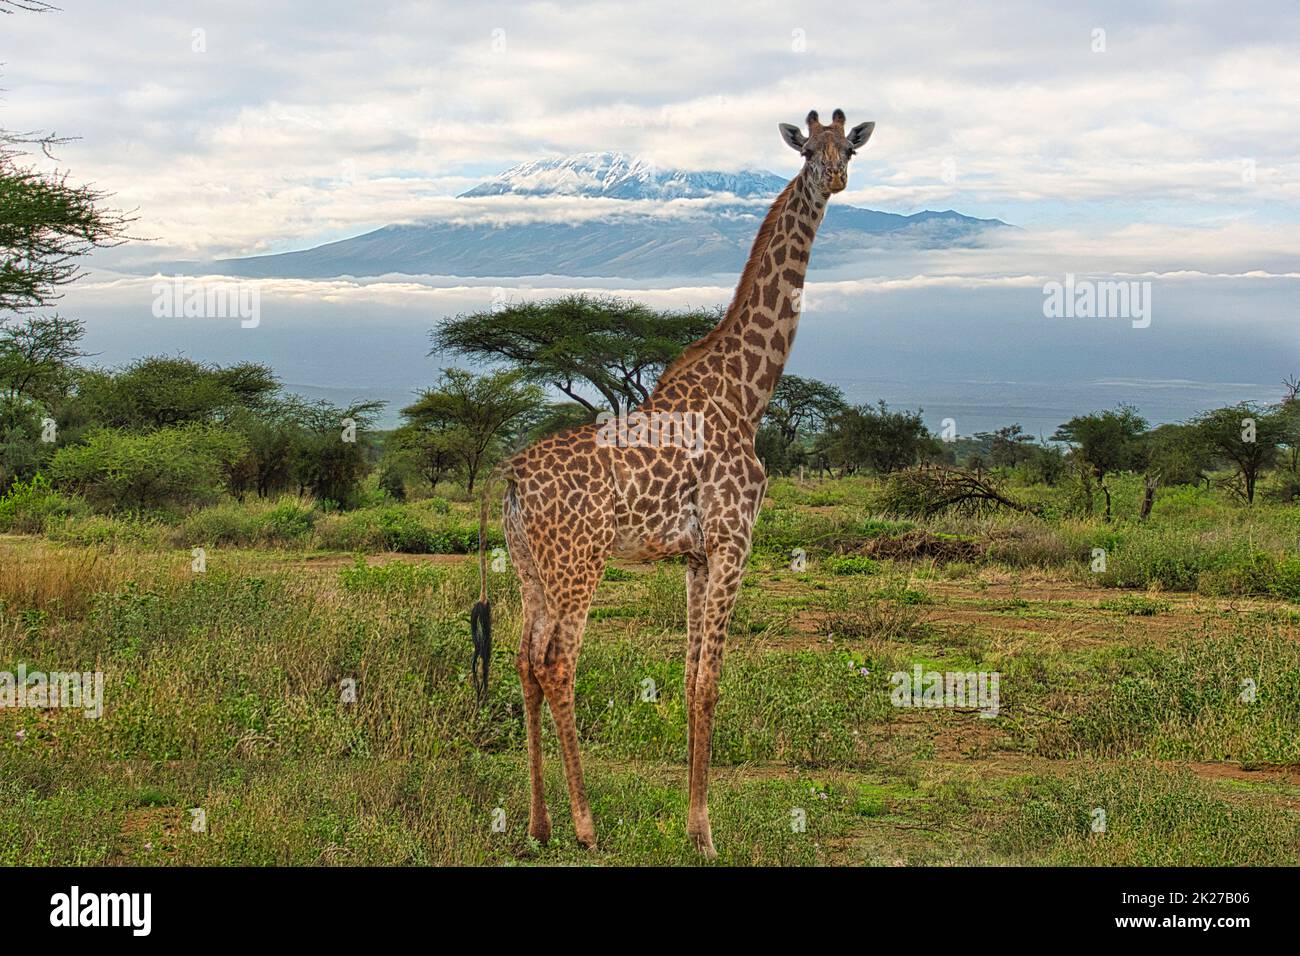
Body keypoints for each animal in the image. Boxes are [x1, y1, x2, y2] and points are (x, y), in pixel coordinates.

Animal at [472, 109, 875, 858]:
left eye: (849, 148)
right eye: (809, 149)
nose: (835, 176)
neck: (748, 394)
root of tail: (508, 476)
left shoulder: (694, 554)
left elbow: (689, 678)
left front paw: (691, 825)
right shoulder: (733, 541)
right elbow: (711, 681)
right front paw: (707, 835)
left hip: (529, 566)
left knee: (523, 661)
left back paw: (539, 826)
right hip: (580, 561)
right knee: (558, 663)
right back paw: (585, 826)